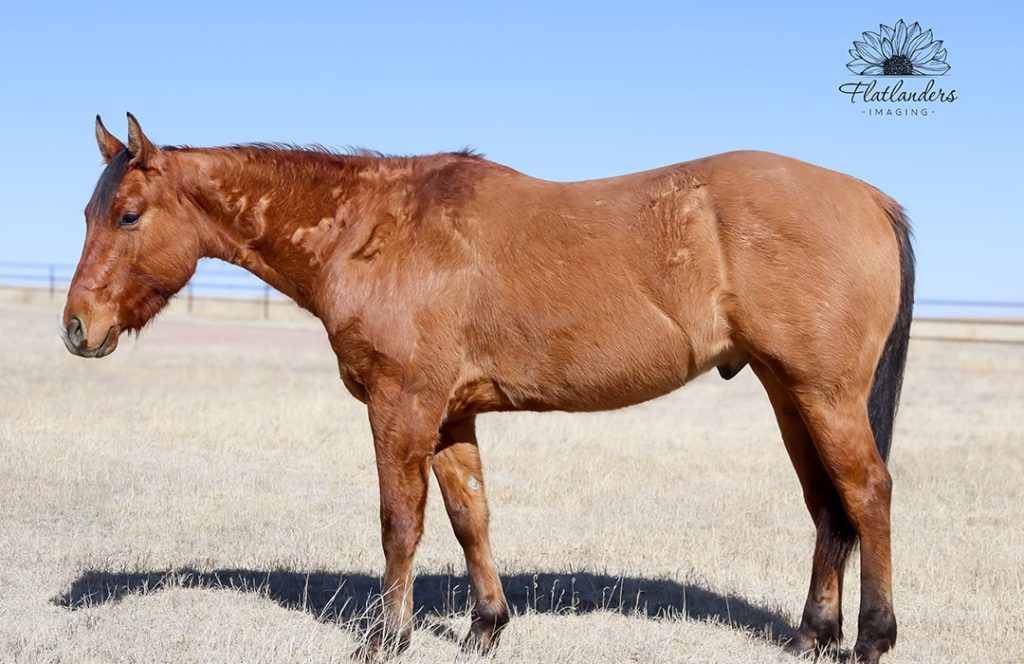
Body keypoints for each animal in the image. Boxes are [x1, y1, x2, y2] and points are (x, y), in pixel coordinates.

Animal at [62, 114, 913, 663]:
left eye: (128, 215)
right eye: (89, 213)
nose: (76, 328)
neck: (375, 231)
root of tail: (871, 197)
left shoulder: (401, 406)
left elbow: (399, 523)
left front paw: (388, 637)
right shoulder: (449, 416)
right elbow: (469, 516)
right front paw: (486, 627)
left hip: (825, 393)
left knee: (866, 493)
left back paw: (872, 638)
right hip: (788, 391)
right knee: (826, 506)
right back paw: (809, 636)